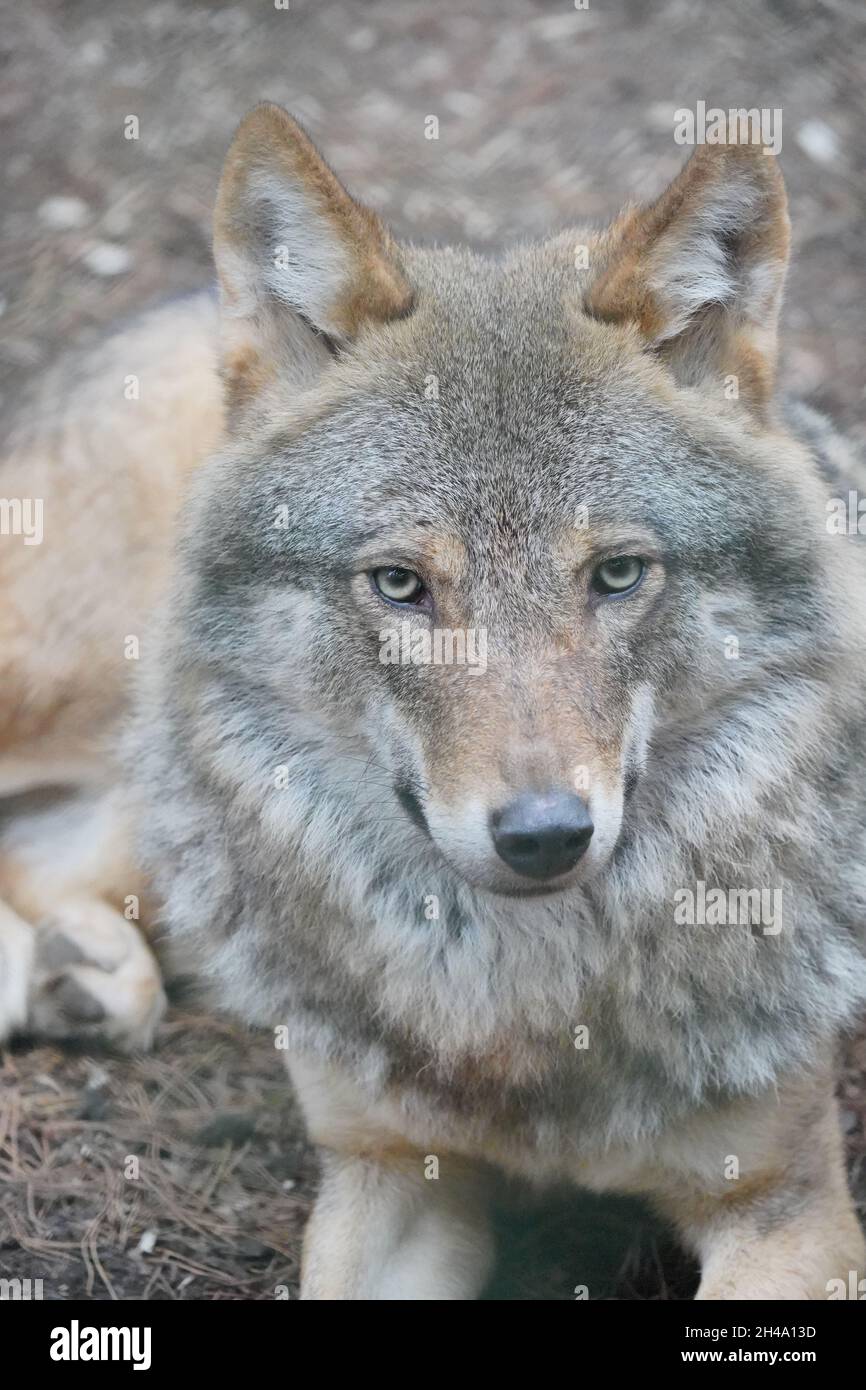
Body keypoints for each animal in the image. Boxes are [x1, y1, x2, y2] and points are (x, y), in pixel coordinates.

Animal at [2, 104, 865, 1299]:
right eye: (402, 584)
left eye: (616, 574)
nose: (544, 836)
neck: (517, 1023)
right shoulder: (382, 1172)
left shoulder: (783, 1206)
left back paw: (78, 978)